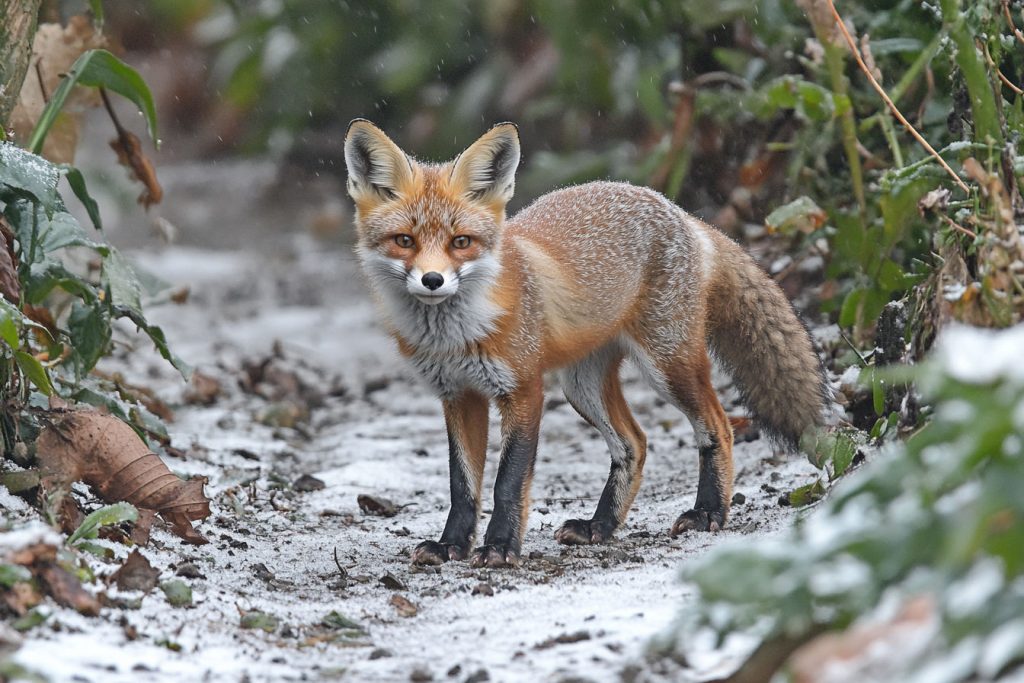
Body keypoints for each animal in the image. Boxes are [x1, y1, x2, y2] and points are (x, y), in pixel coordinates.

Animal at [343, 119, 829, 569]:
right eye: (404, 241)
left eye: (460, 242)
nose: (432, 280)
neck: (458, 336)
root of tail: (679, 211)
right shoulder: (458, 395)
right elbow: (462, 486)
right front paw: (450, 546)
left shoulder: (524, 390)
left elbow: (507, 483)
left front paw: (499, 547)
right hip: (582, 386)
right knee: (635, 443)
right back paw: (601, 526)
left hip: (666, 366)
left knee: (719, 425)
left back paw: (708, 512)